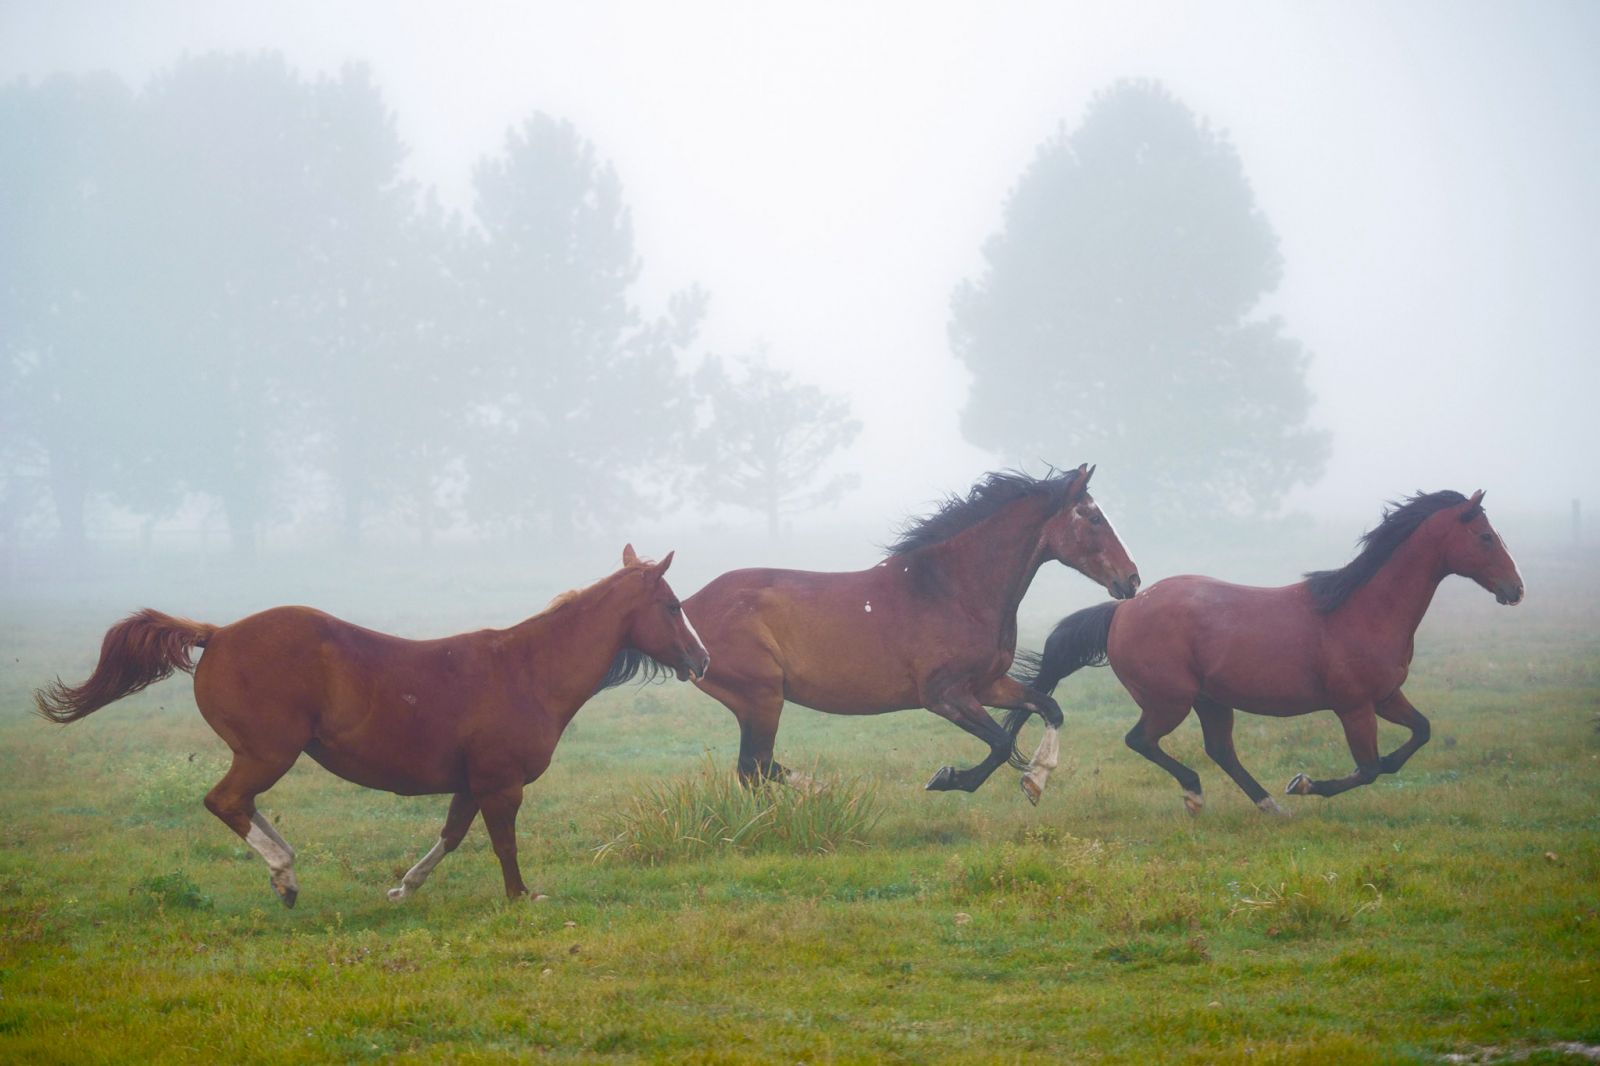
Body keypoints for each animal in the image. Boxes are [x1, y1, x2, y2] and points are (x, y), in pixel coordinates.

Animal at [33, 545, 709, 907]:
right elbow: (502, 843)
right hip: (267, 753)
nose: (702, 660)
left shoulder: (473, 782)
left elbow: (452, 834)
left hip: (265, 755)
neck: (526, 671)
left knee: (240, 804)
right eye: (673, 605)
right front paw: (522, 898)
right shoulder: (501, 784)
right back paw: (284, 875)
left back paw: (287, 869)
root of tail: (217, 635)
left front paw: (404, 889)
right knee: (226, 801)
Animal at [684, 465, 1140, 805]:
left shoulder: (987, 685)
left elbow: (1049, 708)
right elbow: (999, 743)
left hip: (757, 702)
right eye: (1094, 518)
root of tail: (686, 608)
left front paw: (1036, 780)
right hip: (762, 699)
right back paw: (822, 794)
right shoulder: (943, 695)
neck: (953, 589)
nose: (1132, 580)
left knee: (756, 767)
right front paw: (947, 778)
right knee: (755, 766)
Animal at [1020, 490, 1524, 814]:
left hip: (1211, 700)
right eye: (1485, 537)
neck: (1363, 609)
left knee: (1220, 749)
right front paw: (1304, 784)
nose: (1515, 589)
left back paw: (1268, 804)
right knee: (1141, 740)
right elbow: (1368, 768)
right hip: (1170, 701)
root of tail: (1122, 609)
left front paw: (1301, 787)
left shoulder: (1386, 696)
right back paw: (1197, 794)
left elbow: (1419, 733)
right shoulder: (1355, 706)